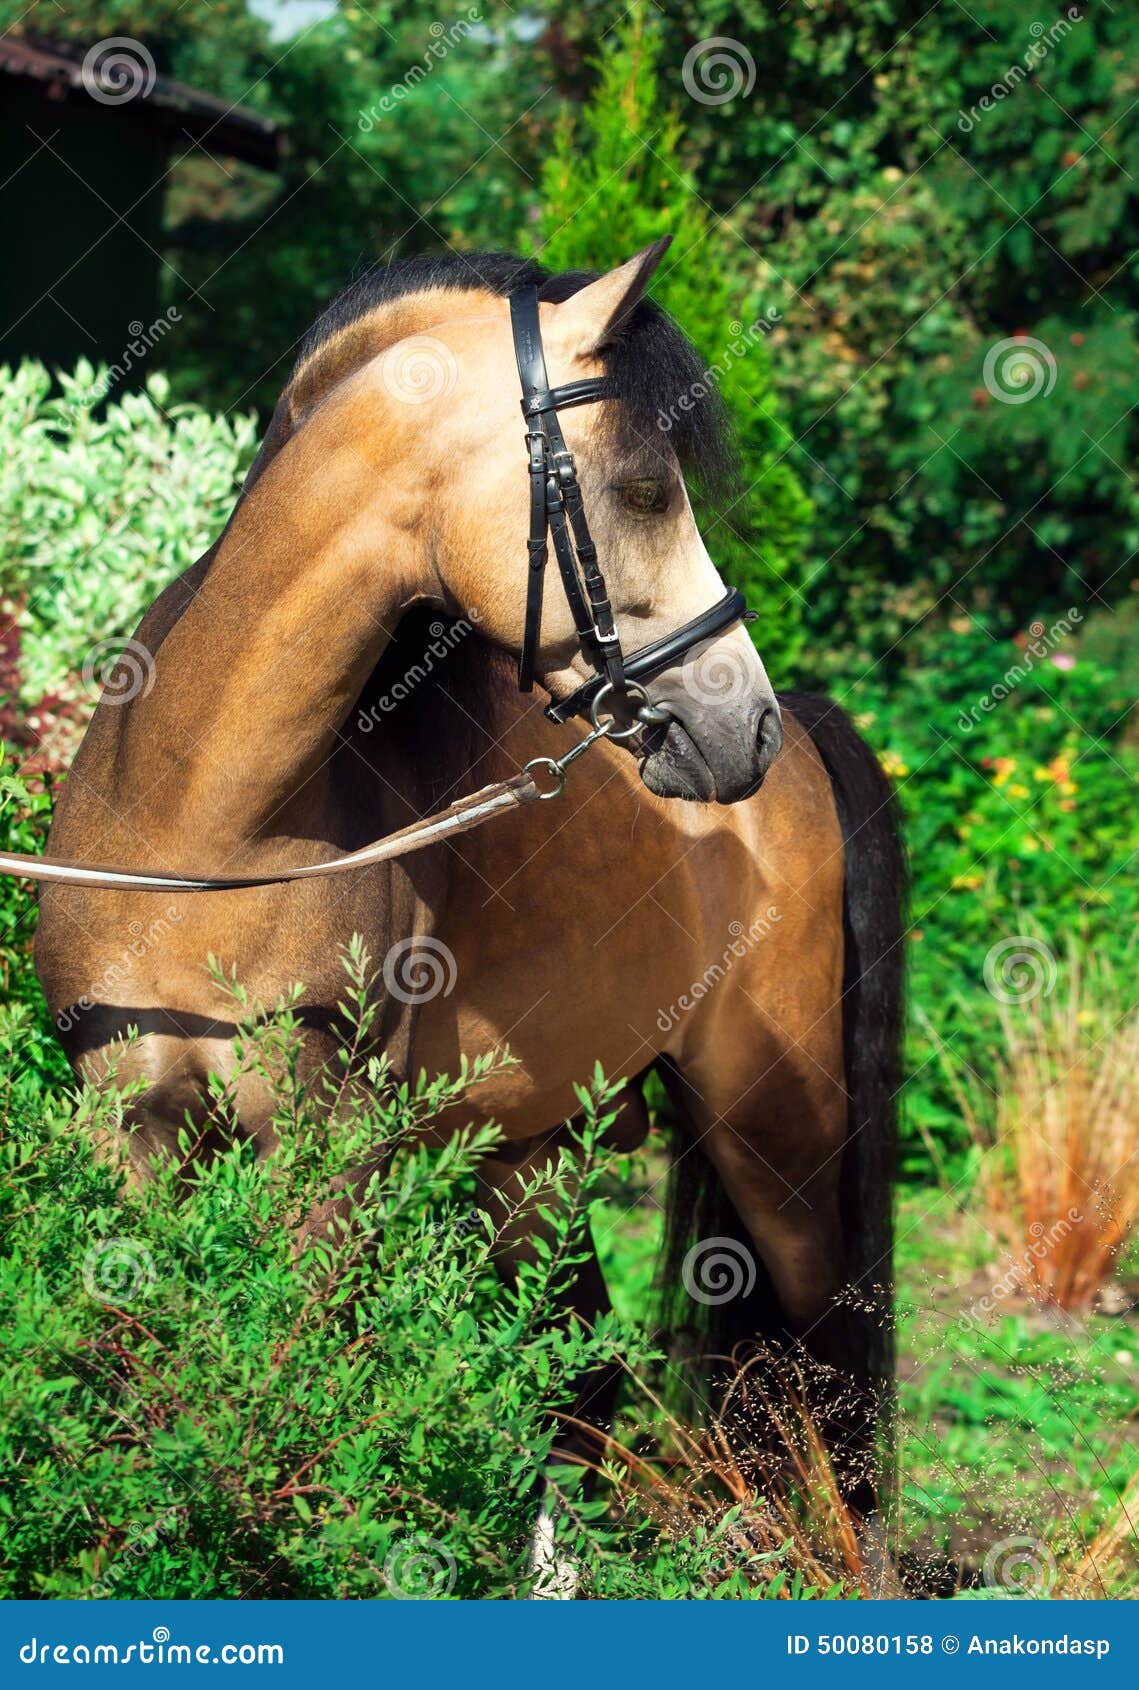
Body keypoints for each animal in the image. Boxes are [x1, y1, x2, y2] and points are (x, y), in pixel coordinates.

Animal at [33, 242, 904, 1573]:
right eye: (644, 488)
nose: (736, 723)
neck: (198, 825)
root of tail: (803, 743)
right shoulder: (123, 1126)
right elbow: (144, 1369)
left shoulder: (322, 1155)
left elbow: (289, 1386)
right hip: (533, 1147)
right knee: (584, 1368)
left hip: (775, 1133)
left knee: (826, 1365)